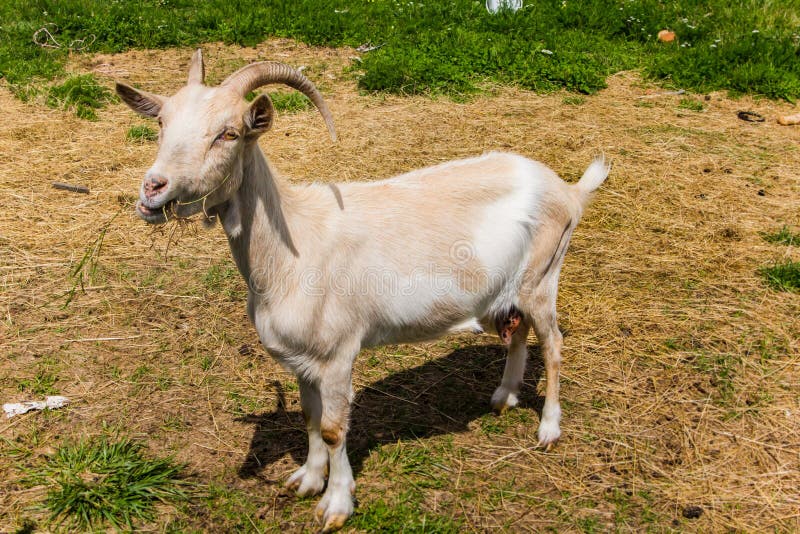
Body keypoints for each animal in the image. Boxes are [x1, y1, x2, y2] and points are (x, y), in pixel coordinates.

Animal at [116, 49, 609, 532]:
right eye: (161, 124)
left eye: (229, 133)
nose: (153, 189)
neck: (294, 245)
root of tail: (568, 190)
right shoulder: (302, 359)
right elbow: (310, 417)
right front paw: (307, 479)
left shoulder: (337, 354)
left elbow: (334, 429)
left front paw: (336, 504)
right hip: (505, 292)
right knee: (519, 330)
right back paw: (503, 397)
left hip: (542, 277)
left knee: (554, 344)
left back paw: (548, 430)